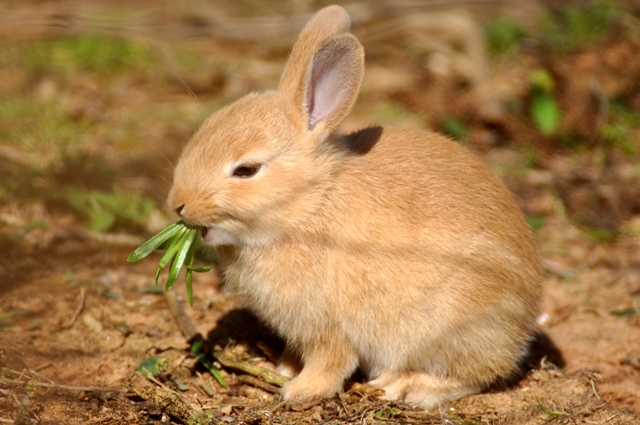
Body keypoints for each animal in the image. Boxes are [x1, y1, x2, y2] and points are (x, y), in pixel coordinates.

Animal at [168, 5, 542, 408]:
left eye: (246, 170)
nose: (178, 205)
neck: (309, 206)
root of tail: (526, 319)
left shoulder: (329, 327)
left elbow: (331, 362)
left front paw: (297, 391)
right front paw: (285, 366)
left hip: (451, 325)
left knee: (476, 374)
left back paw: (407, 387)